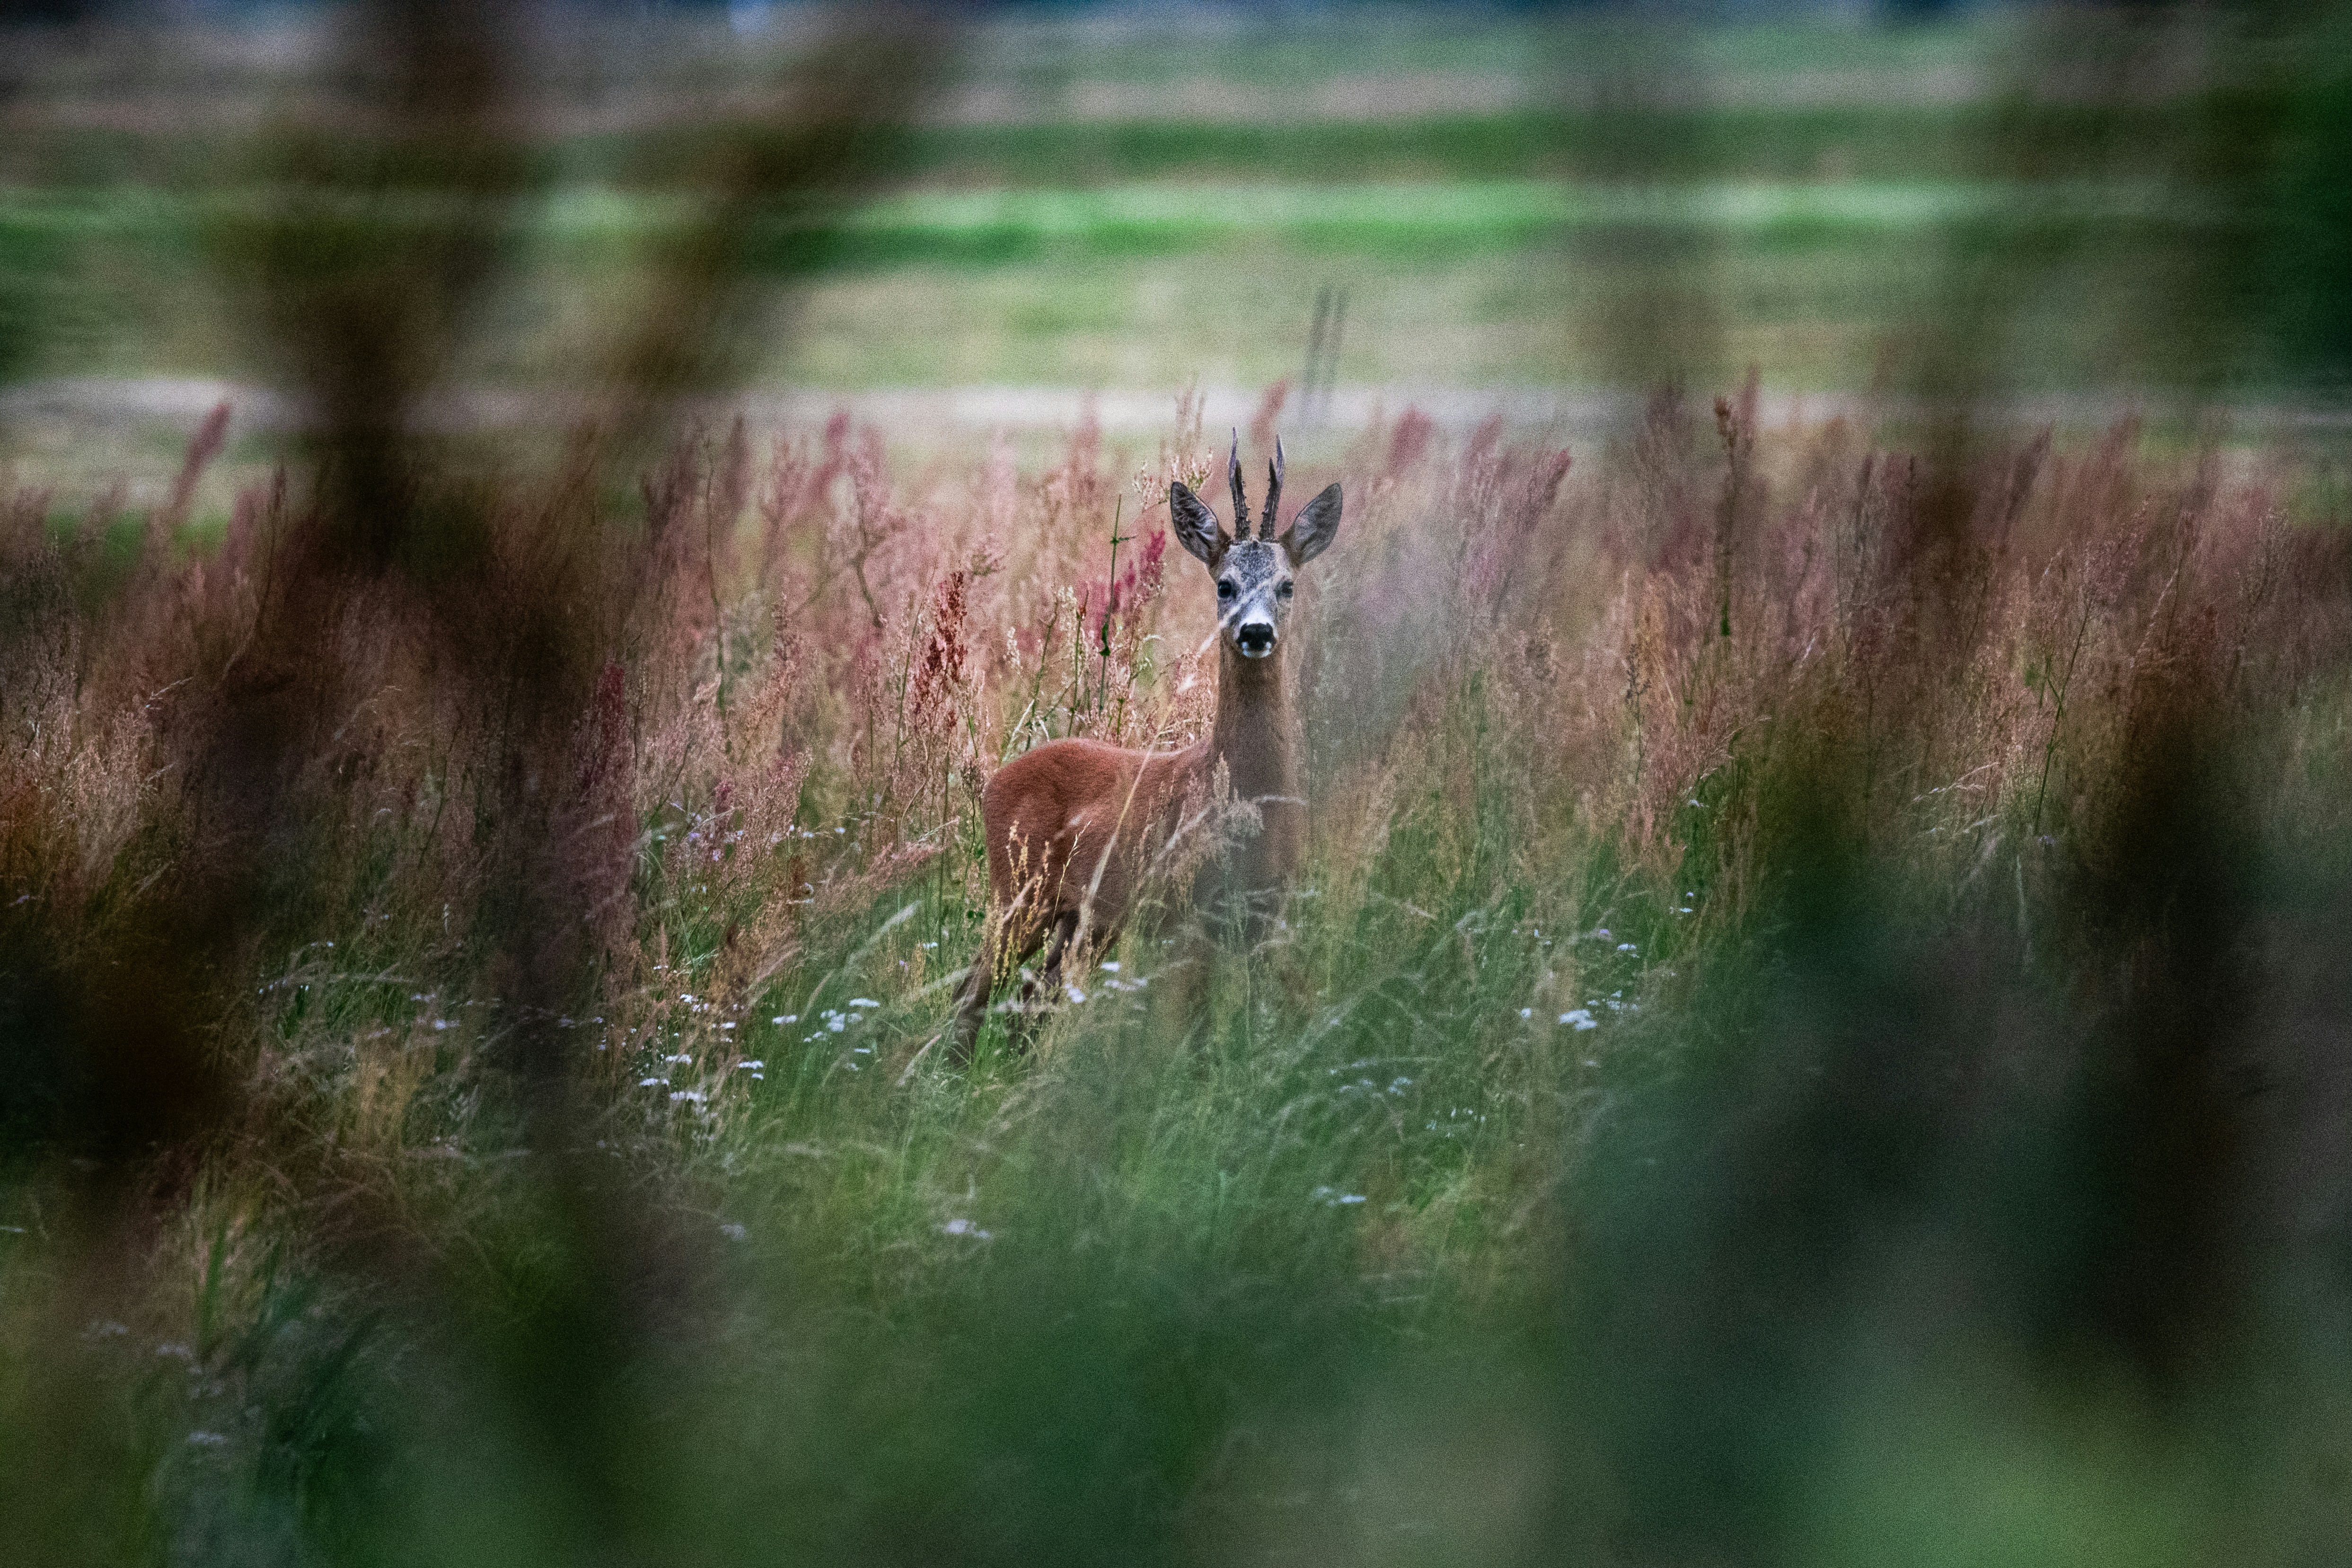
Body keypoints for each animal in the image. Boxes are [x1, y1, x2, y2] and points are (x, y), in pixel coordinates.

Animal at [948, 435, 1342, 1063]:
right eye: (1224, 584)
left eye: (1287, 585)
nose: (1256, 632)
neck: (1248, 793)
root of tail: (993, 780)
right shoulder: (1189, 911)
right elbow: (1193, 1032)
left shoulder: (1270, 910)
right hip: (1019, 889)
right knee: (973, 990)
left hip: (1082, 917)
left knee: (1030, 1004)